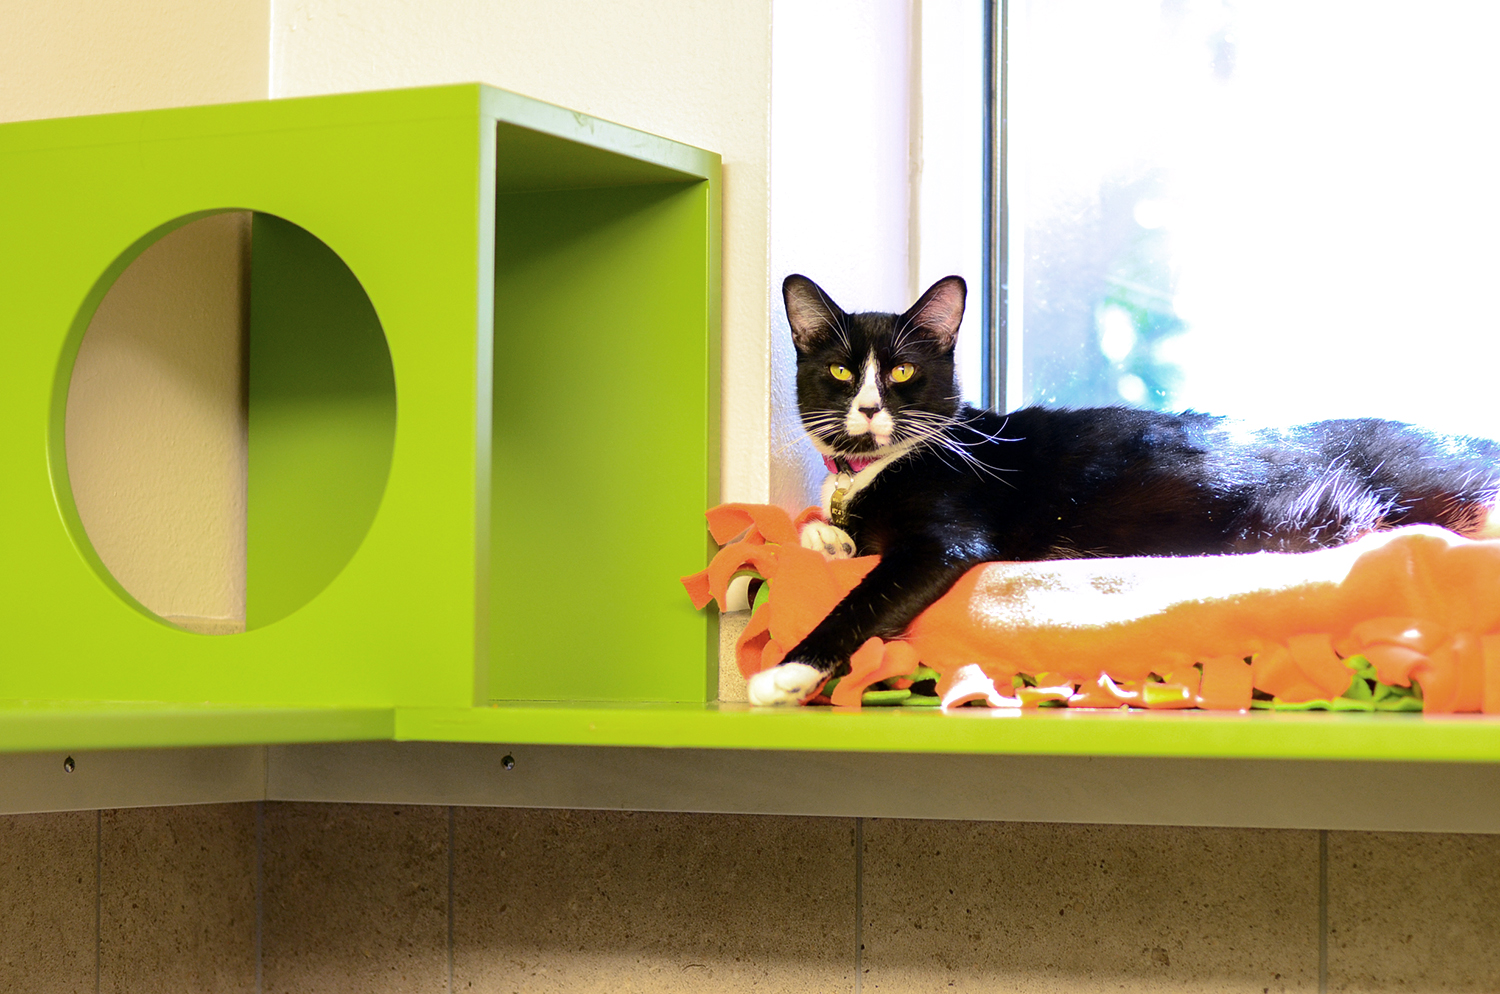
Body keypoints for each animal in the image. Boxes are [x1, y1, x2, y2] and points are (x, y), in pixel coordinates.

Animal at [750, 272, 1500, 707]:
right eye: (839, 372)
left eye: (903, 371)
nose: (870, 407)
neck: (881, 466)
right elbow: (827, 528)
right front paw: (827, 532)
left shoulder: (949, 536)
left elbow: (866, 595)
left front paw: (788, 673)